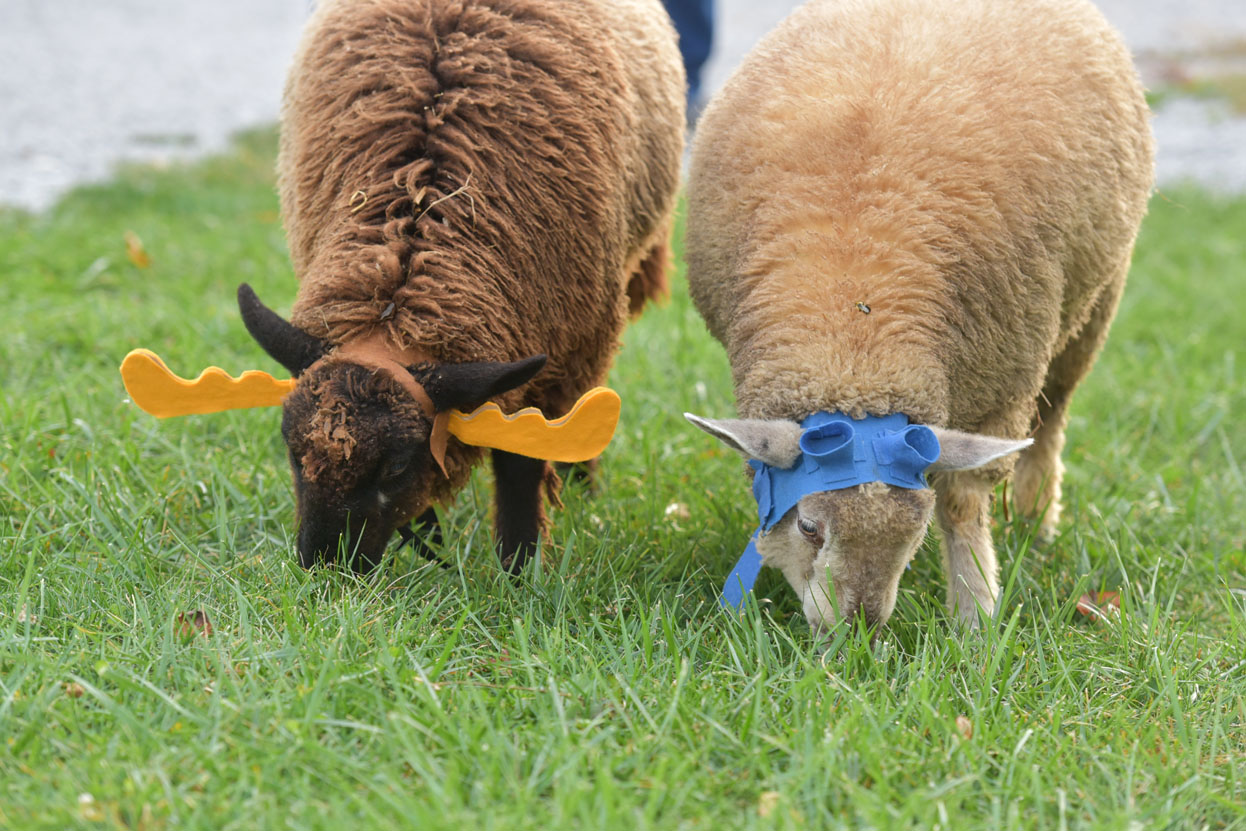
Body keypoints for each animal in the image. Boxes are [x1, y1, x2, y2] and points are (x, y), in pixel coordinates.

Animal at [239, 0, 684, 572]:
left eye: (394, 467)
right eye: (293, 452)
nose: (324, 567)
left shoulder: (559, 353)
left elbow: (524, 459)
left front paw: (519, 567)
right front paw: (428, 544)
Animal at [682, 0, 1154, 631]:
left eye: (915, 529)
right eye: (808, 526)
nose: (856, 630)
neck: (855, 332)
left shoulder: (1001, 385)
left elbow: (962, 502)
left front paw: (975, 613)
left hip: (1096, 301)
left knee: (1053, 416)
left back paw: (1035, 519)